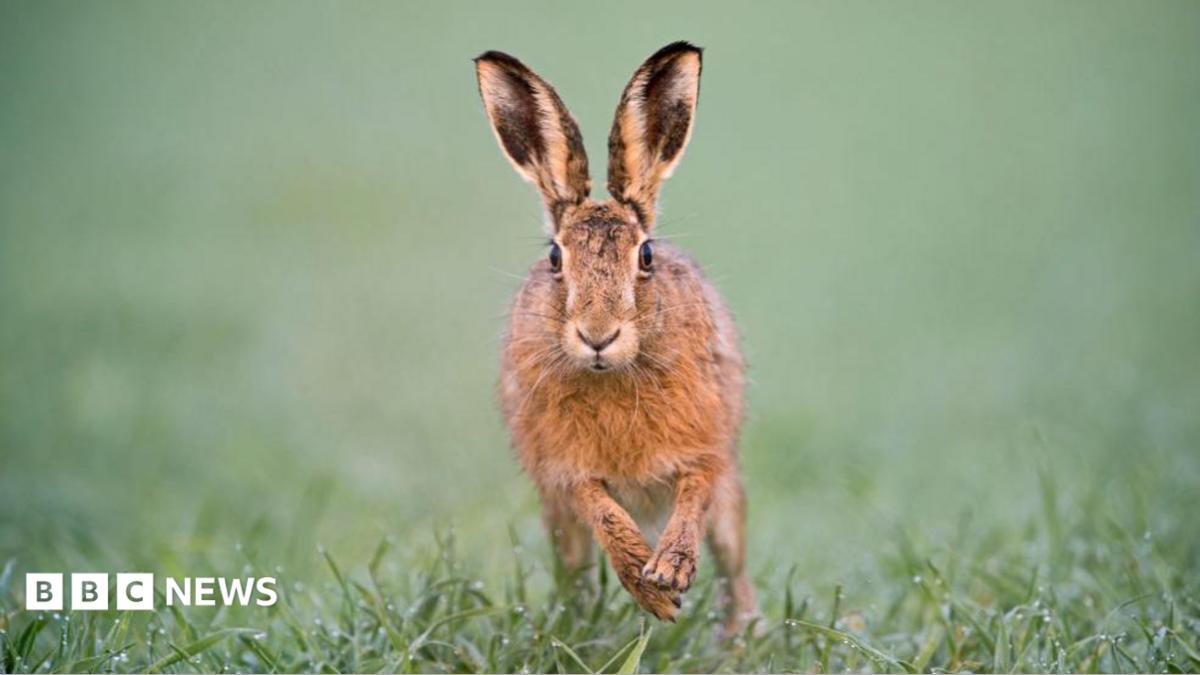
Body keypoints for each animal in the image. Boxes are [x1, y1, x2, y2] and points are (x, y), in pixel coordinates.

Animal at [475, 41, 756, 632]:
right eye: (555, 258)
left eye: (645, 255)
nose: (598, 335)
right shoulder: (564, 470)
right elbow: (598, 506)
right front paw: (648, 587)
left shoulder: (706, 450)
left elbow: (694, 491)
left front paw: (669, 569)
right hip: (560, 526)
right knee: (576, 570)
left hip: (730, 509)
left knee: (734, 573)